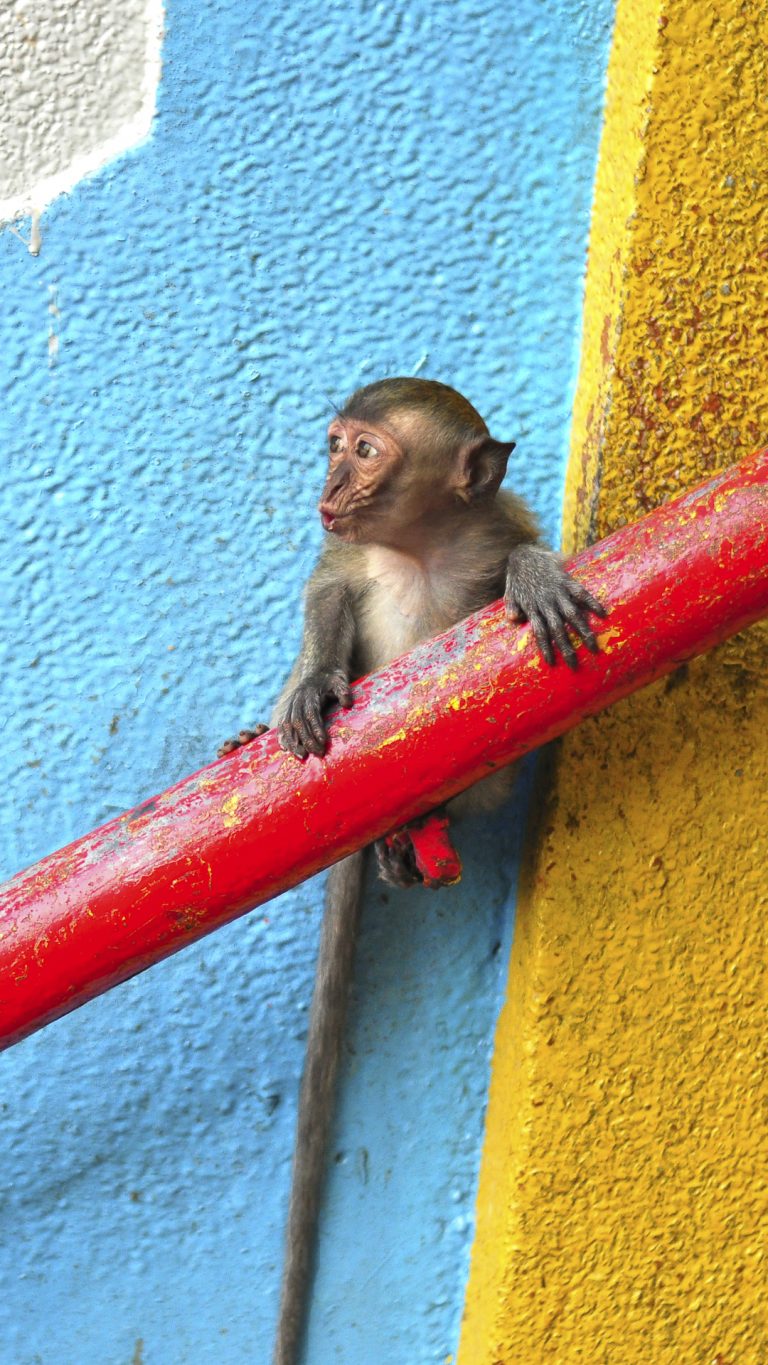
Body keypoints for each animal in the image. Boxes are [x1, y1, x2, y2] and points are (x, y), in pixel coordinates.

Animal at [219, 377, 605, 1365]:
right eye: (336, 444)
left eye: (365, 451)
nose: (327, 484)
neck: (416, 547)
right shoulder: (345, 554)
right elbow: (326, 597)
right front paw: (312, 678)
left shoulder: (488, 522)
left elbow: (514, 553)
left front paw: (531, 574)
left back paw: (410, 834)